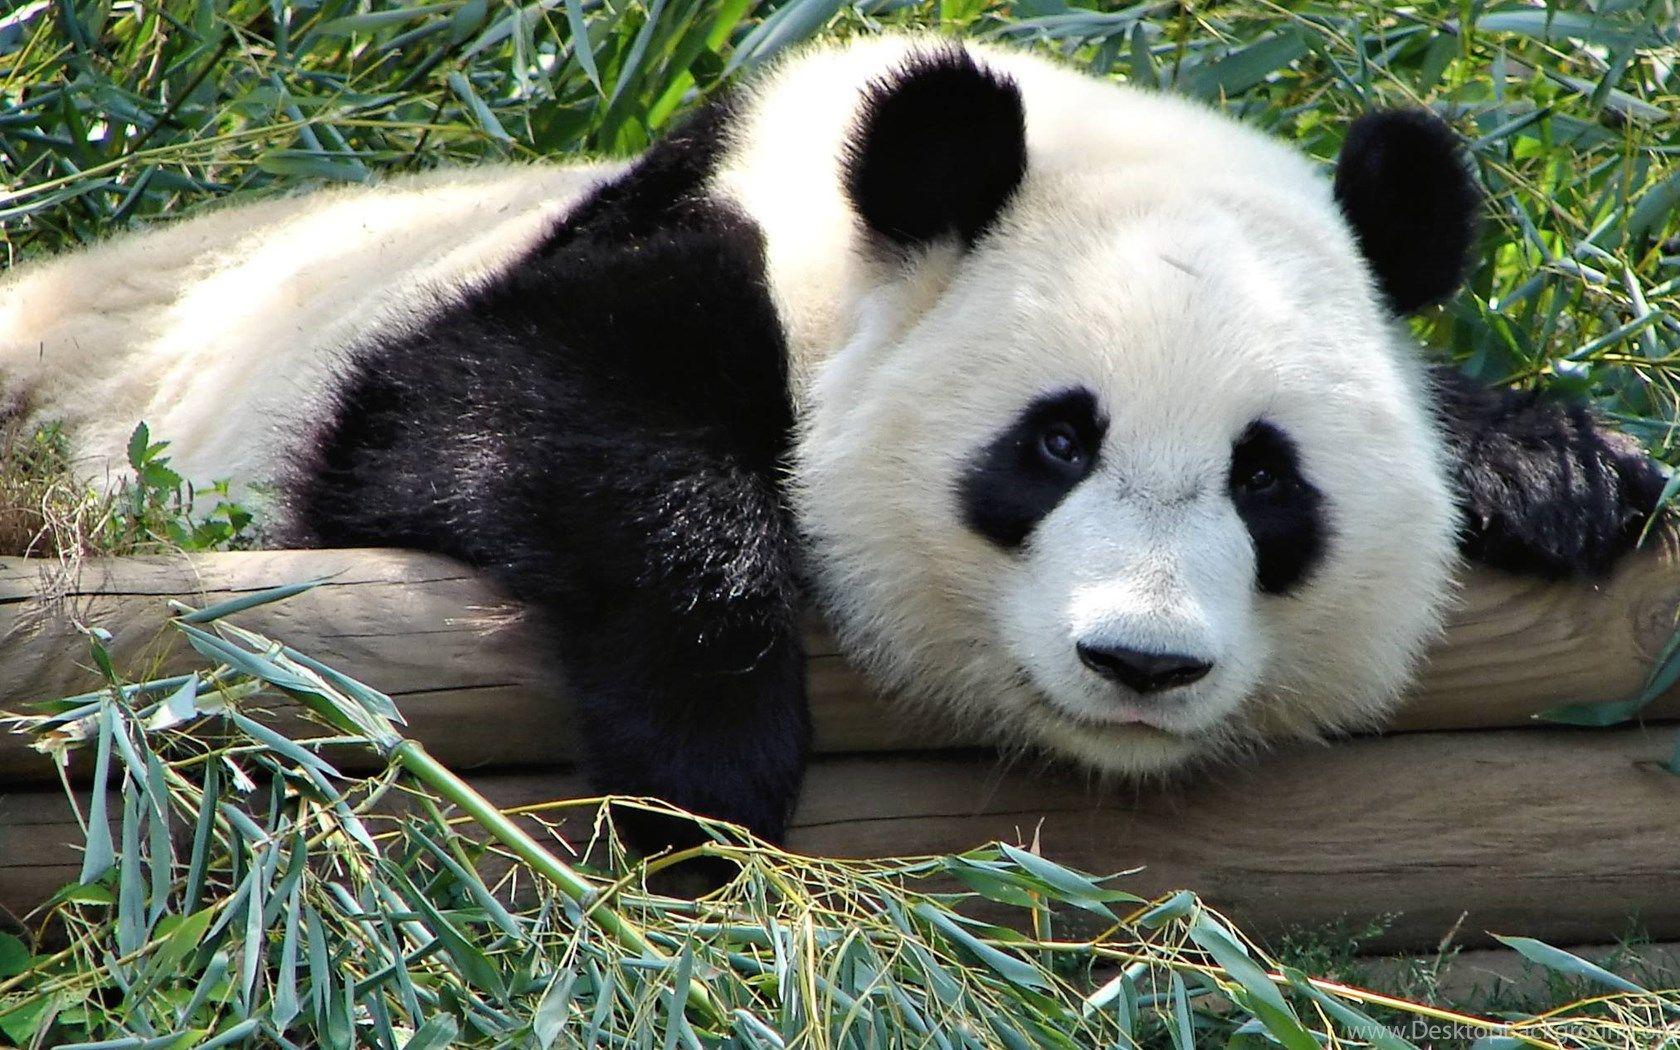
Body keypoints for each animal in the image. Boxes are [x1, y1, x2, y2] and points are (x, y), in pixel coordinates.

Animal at [0, 34, 1663, 849]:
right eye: (1054, 444)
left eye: (1269, 479)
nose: (1142, 661)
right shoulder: (657, 255)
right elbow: (473, 414)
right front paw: (709, 764)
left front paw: (1559, 471)